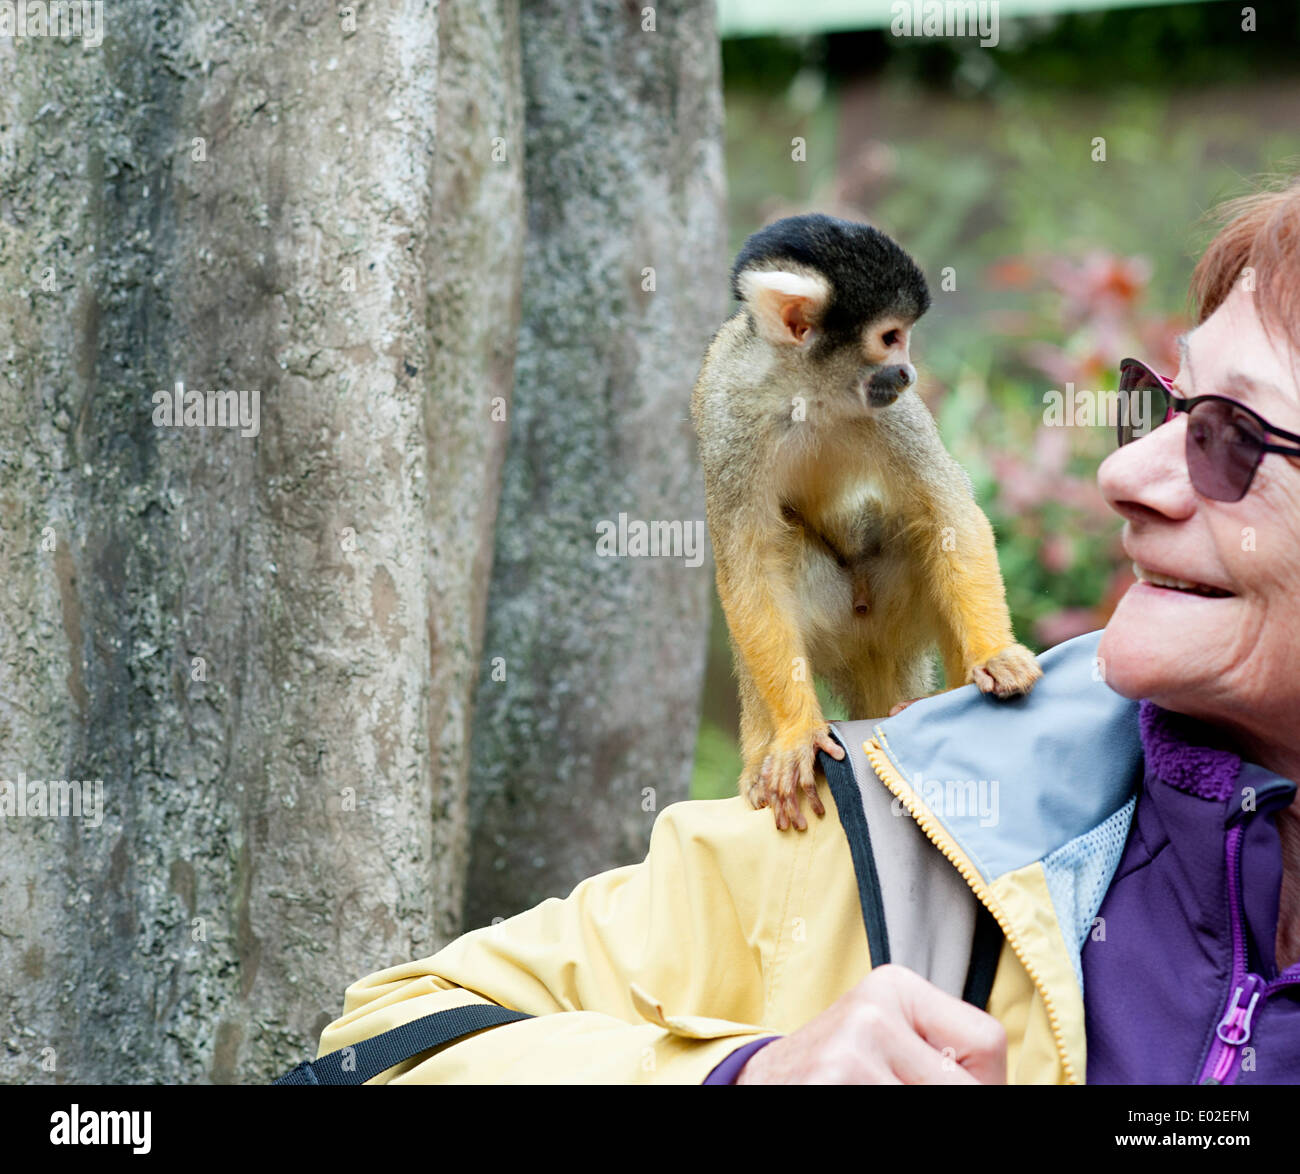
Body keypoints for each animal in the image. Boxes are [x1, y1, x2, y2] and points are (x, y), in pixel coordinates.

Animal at [690, 213, 1041, 832]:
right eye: (889, 336)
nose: (908, 371)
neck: (805, 391)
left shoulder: (893, 410)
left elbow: (948, 513)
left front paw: (994, 654)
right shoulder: (729, 414)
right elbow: (748, 566)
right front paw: (797, 734)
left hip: (897, 626)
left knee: (911, 527)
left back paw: (933, 701)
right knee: (785, 557)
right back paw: (761, 758)